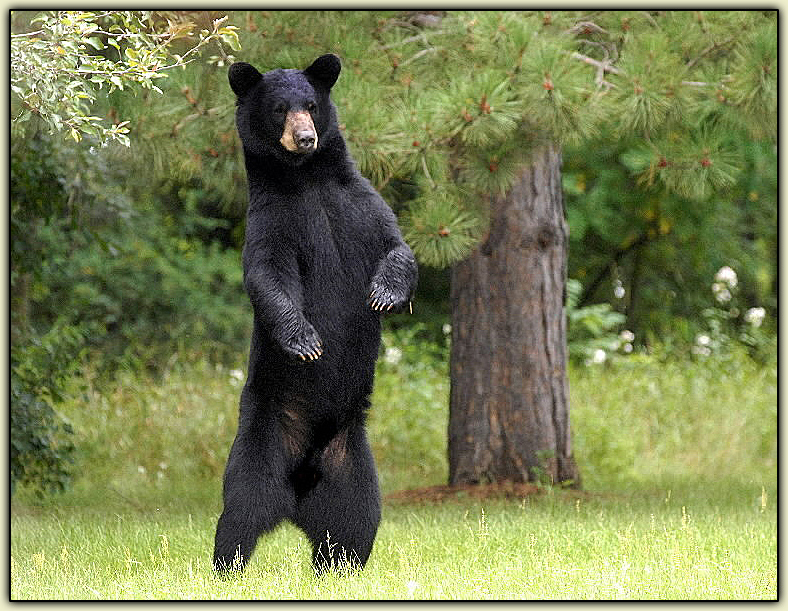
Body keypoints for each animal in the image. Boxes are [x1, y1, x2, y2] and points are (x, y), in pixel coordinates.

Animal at [213, 54, 418, 575]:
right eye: (280, 109)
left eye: (309, 105)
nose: (305, 137)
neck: (307, 177)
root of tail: (298, 490)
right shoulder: (273, 220)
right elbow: (268, 274)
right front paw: (304, 339)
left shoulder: (360, 203)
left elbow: (398, 247)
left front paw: (384, 294)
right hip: (262, 439)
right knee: (241, 510)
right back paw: (226, 568)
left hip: (351, 460)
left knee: (355, 519)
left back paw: (340, 567)